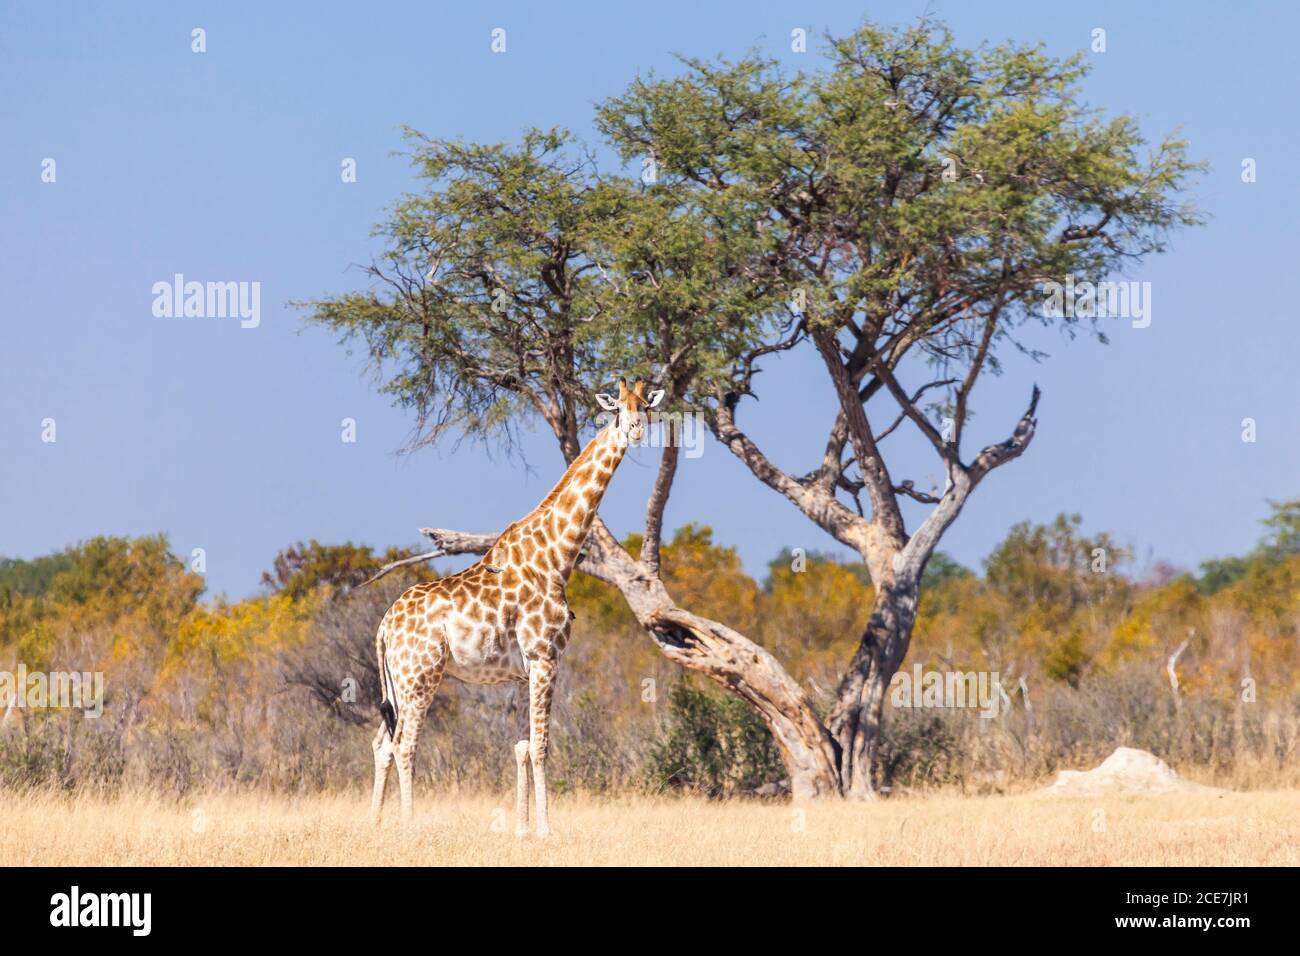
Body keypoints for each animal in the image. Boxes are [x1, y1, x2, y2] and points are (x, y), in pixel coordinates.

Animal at [369, 378, 663, 836]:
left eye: (646, 406)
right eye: (617, 408)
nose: (635, 431)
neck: (558, 555)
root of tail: (384, 626)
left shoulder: (522, 669)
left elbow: (521, 745)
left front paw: (522, 829)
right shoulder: (545, 656)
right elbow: (541, 745)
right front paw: (544, 829)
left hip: (397, 682)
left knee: (381, 743)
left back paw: (375, 824)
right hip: (421, 677)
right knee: (404, 745)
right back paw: (409, 825)